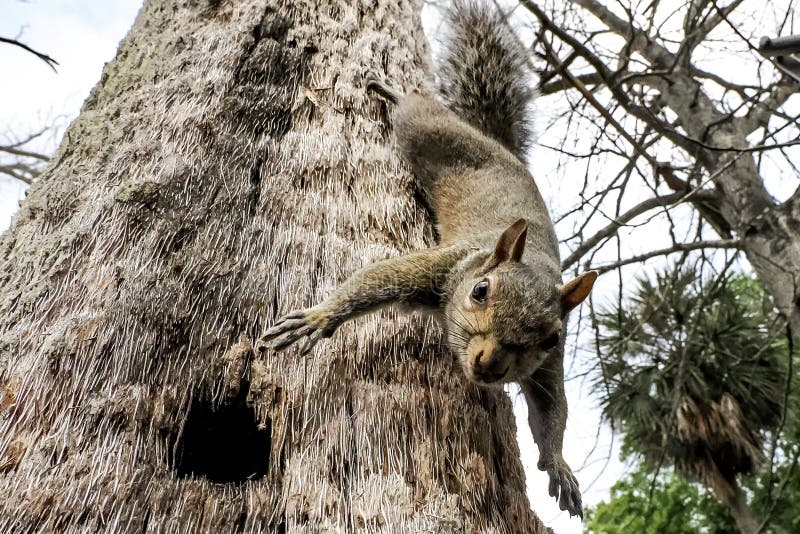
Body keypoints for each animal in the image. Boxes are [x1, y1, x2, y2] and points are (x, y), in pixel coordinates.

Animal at [261, 0, 596, 519]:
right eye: (480, 291)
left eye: (551, 336)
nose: (489, 365)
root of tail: (497, 145)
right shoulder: (444, 265)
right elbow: (377, 278)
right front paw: (319, 317)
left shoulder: (547, 366)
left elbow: (551, 410)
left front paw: (560, 467)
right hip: (433, 133)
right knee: (417, 112)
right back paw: (396, 93)